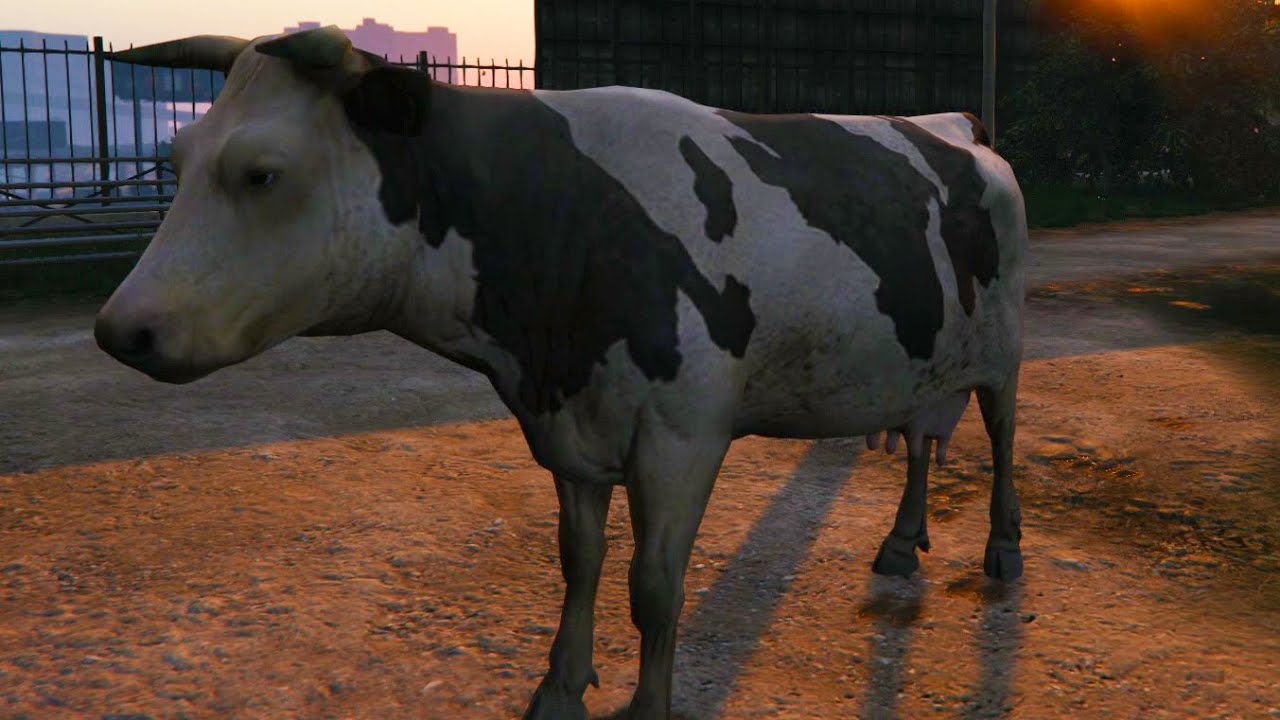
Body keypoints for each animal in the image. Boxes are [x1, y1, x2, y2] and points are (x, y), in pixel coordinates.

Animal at [95, 25, 1027, 720]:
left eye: (262, 173)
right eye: (175, 163)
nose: (119, 330)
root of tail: (958, 125)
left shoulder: (682, 432)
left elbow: (654, 587)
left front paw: (646, 706)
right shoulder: (569, 423)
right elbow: (578, 559)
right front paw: (559, 687)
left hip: (1005, 352)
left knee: (1002, 437)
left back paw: (1003, 550)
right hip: (921, 361)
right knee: (918, 438)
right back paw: (900, 542)